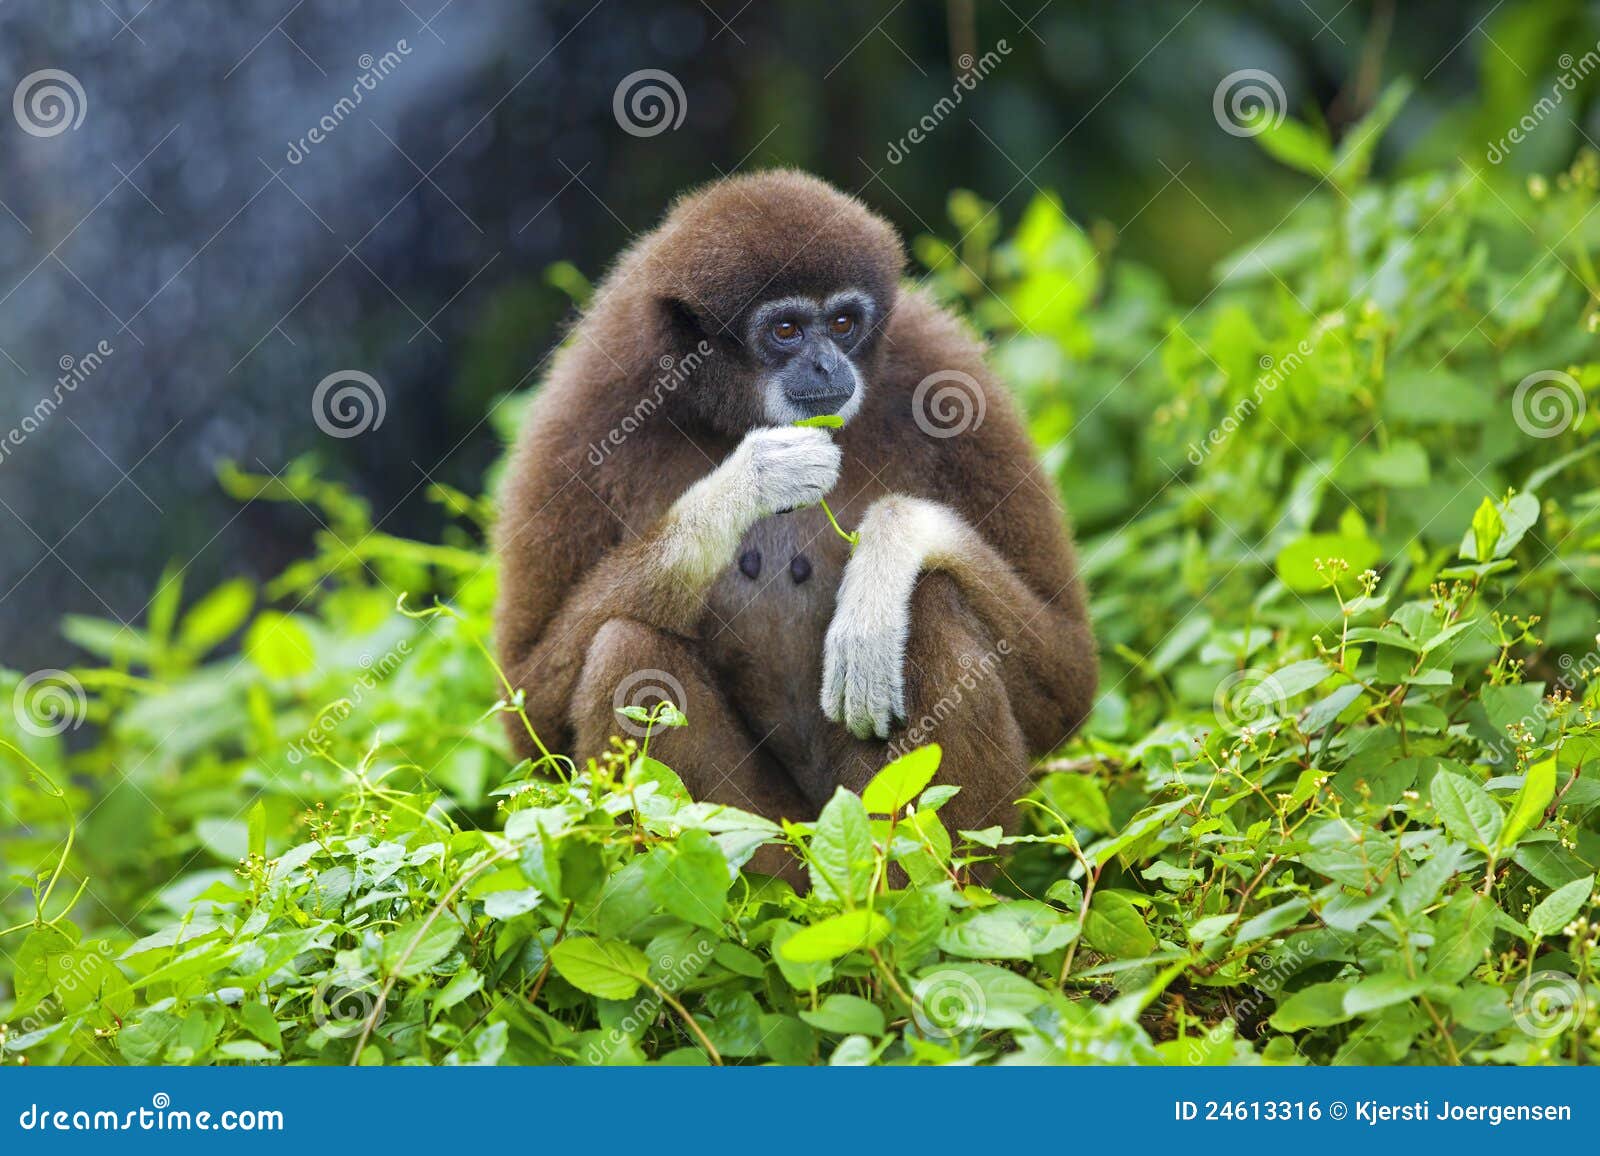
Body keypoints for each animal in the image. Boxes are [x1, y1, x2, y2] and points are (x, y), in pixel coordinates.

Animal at [494, 170, 1096, 877]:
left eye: (842, 322)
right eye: (785, 329)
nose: (826, 365)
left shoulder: (950, 371)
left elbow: (1068, 674)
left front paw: (887, 556)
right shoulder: (580, 412)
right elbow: (530, 707)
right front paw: (748, 481)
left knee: (933, 601)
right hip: (776, 839)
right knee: (626, 648)